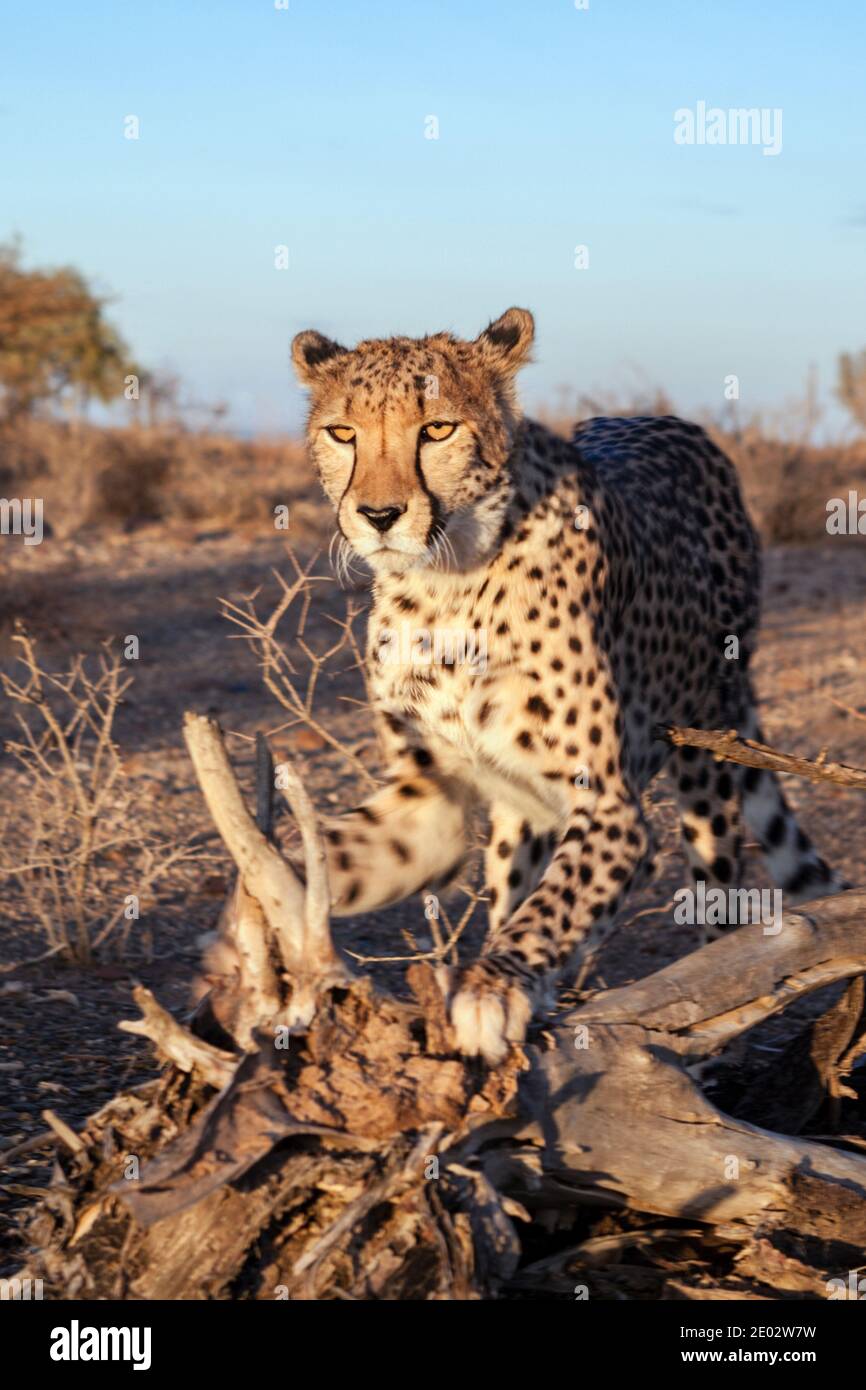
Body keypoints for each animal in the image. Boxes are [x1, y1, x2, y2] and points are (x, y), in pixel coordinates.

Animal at [287, 306, 848, 1064]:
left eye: (437, 429)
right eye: (342, 433)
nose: (378, 516)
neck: (444, 583)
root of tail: (665, 421)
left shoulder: (609, 804)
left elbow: (557, 904)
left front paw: (493, 985)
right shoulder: (427, 796)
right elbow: (335, 857)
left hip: (706, 751)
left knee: (710, 899)